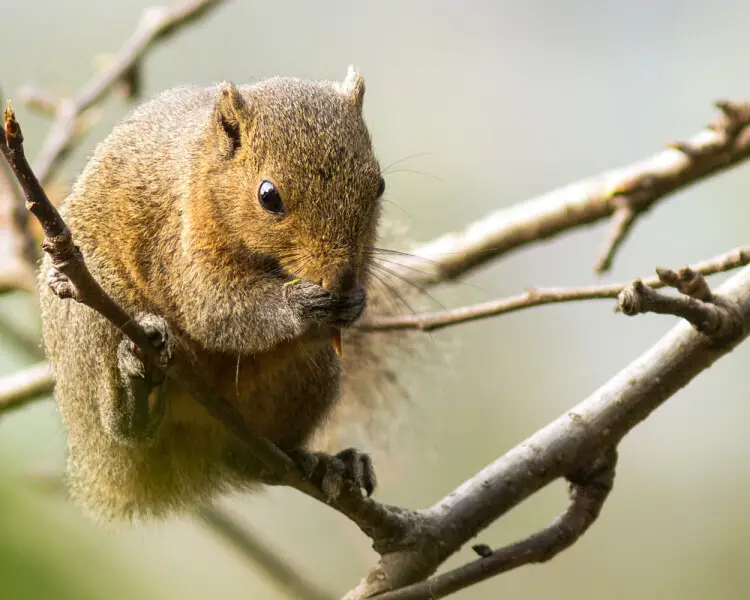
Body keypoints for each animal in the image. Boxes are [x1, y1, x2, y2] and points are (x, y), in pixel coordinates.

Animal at [38, 67, 409, 522]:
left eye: (379, 186)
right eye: (269, 196)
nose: (338, 277)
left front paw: (356, 303)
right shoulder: (180, 237)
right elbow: (213, 309)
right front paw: (301, 303)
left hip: (313, 375)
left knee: (257, 465)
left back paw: (329, 465)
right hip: (91, 326)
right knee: (124, 429)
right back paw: (135, 389)